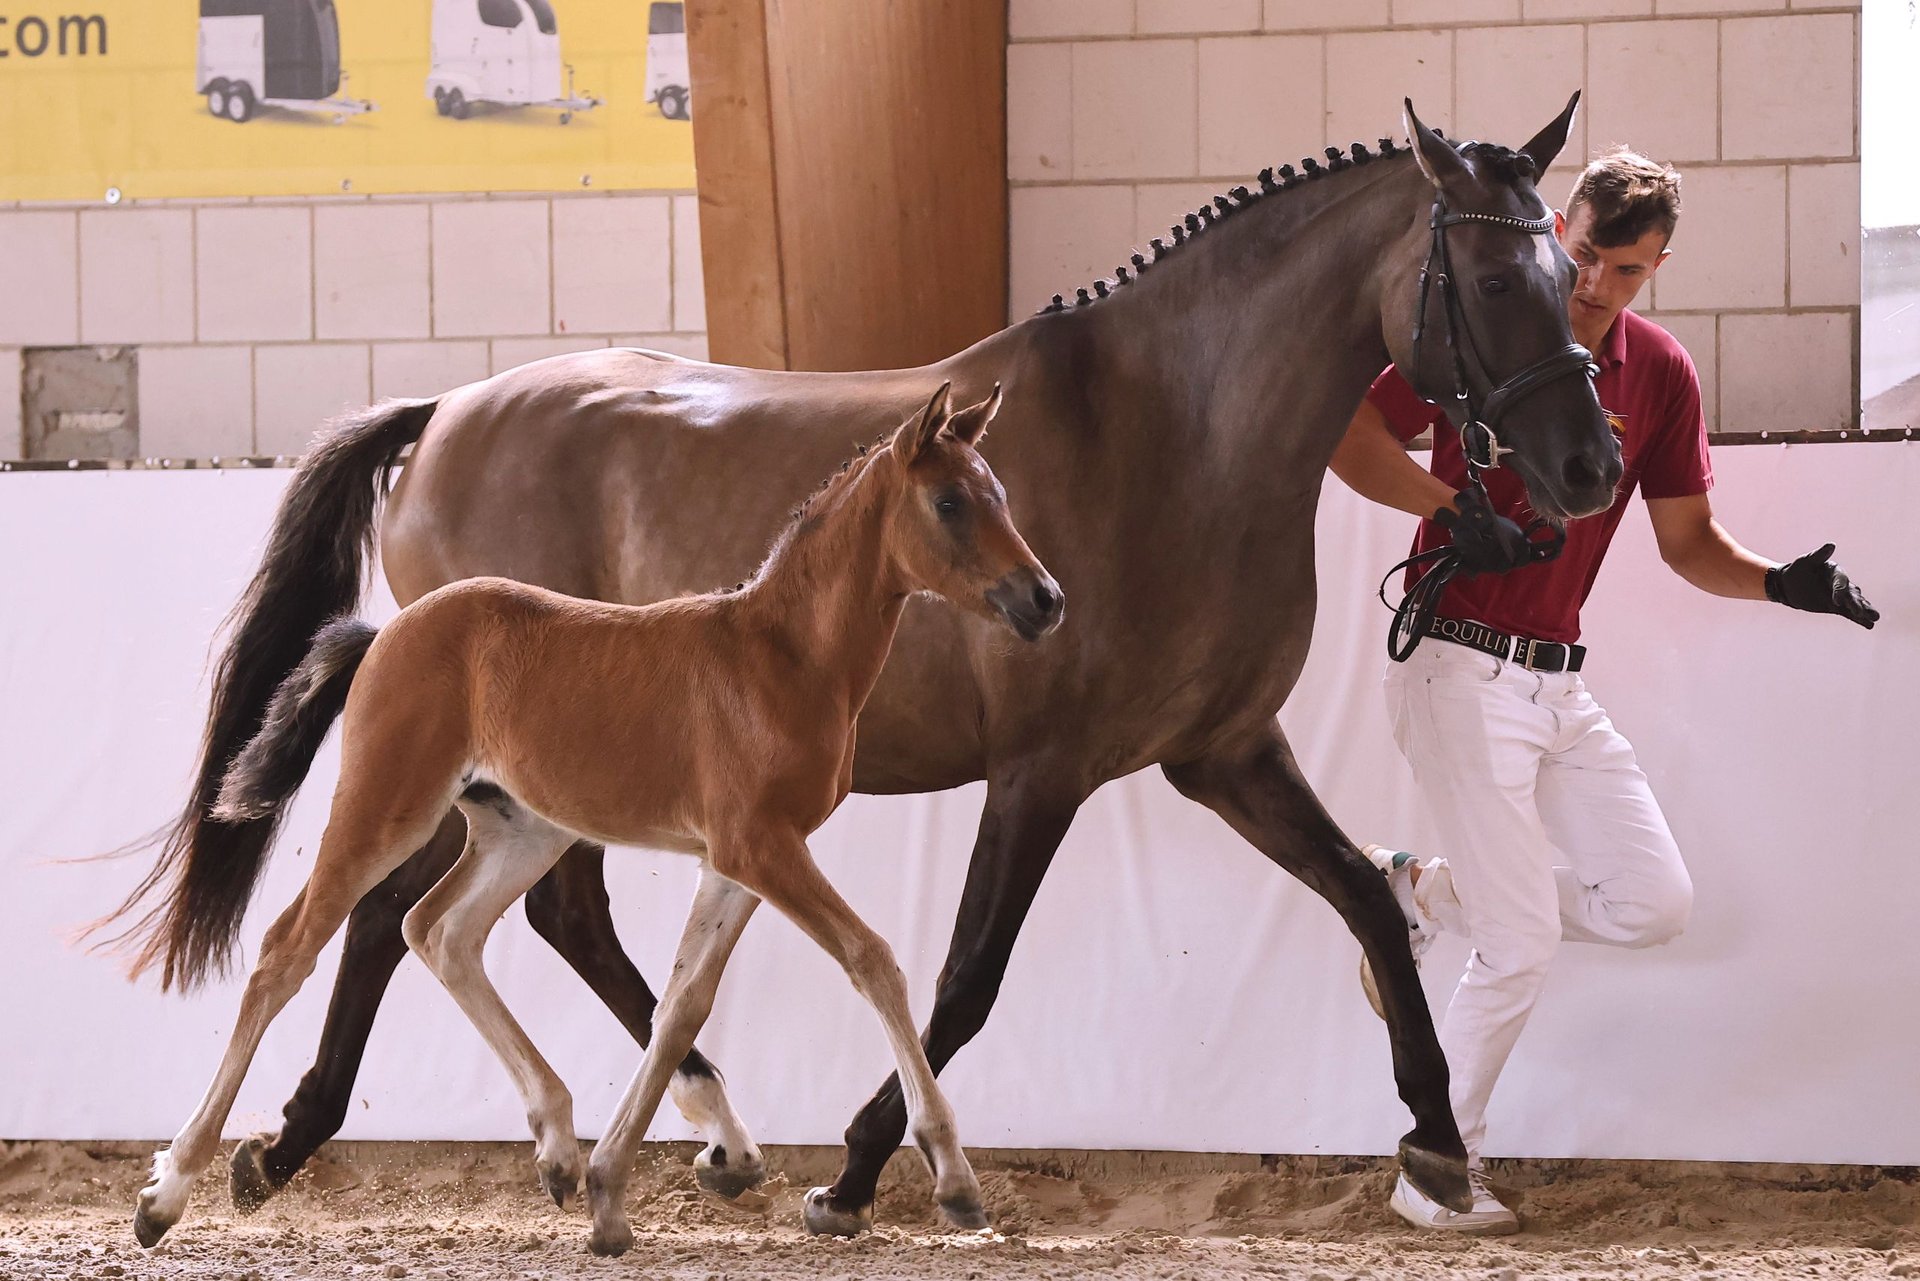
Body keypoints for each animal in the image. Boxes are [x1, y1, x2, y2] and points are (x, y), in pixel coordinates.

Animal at [128, 384, 1063, 1255]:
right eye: (950, 501)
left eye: (1002, 492)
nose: (1045, 599)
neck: (783, 656)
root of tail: (386, 633)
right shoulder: (762, 845)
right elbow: (873, 961)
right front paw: (954, 1180)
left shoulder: (734, 858)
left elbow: (681, 1005)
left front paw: (618, 1188)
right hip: (386, 805)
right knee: (289, 949)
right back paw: (168, 1189)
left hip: (522, 829)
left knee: (440, 929)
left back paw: (556, 1143)